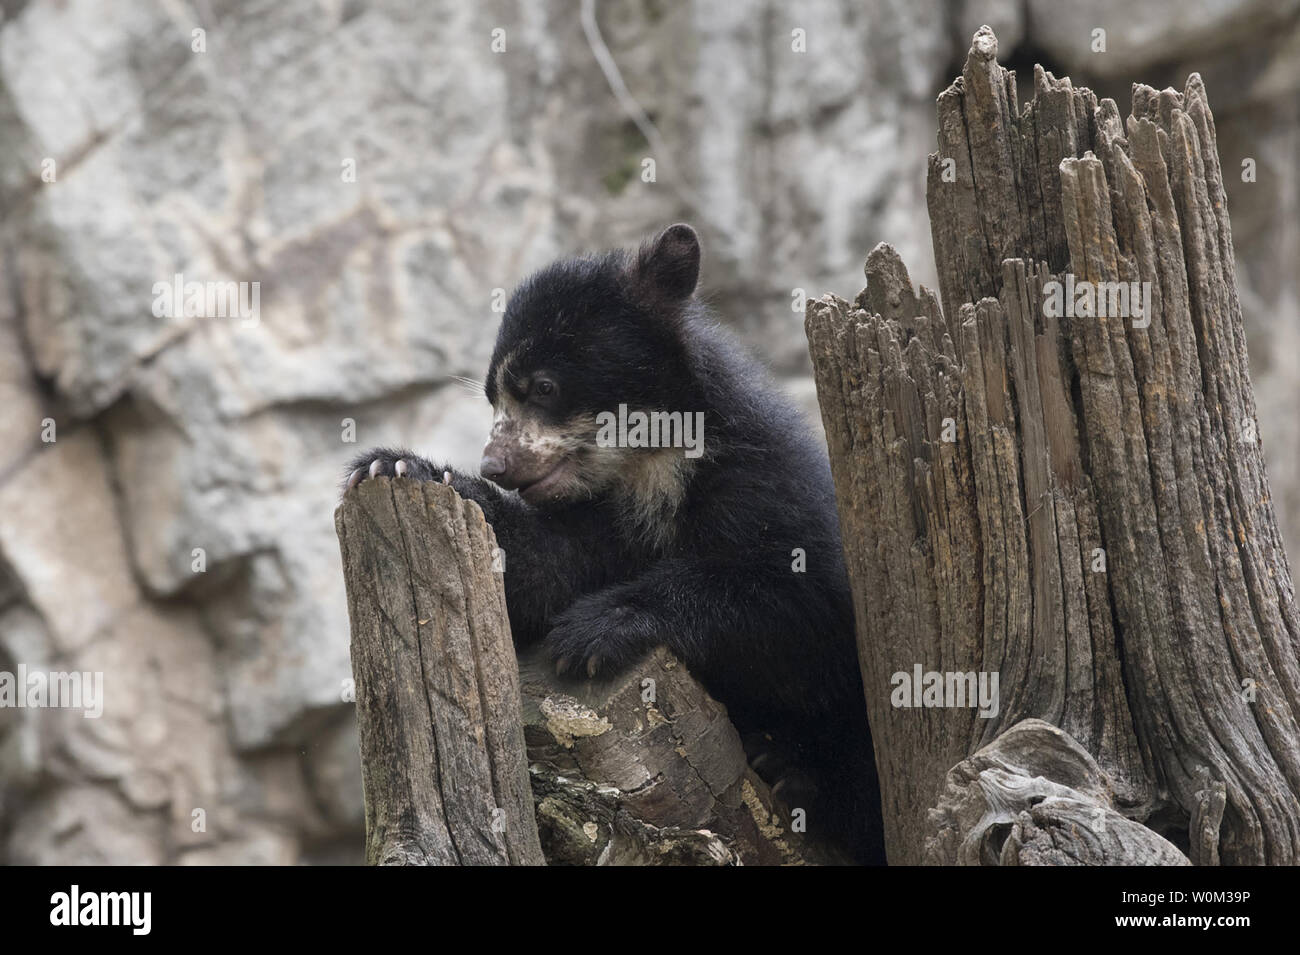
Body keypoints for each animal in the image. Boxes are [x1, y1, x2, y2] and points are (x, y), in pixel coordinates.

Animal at [344, 224, 884, 863]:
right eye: (493, 399)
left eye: (543, 387)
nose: (496, 465)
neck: (647, 469)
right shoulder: (598, 523)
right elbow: (544, 567)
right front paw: (397, 466)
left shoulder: (772, 486)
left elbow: (801, 599)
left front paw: (591, 632)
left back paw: (791, 770)